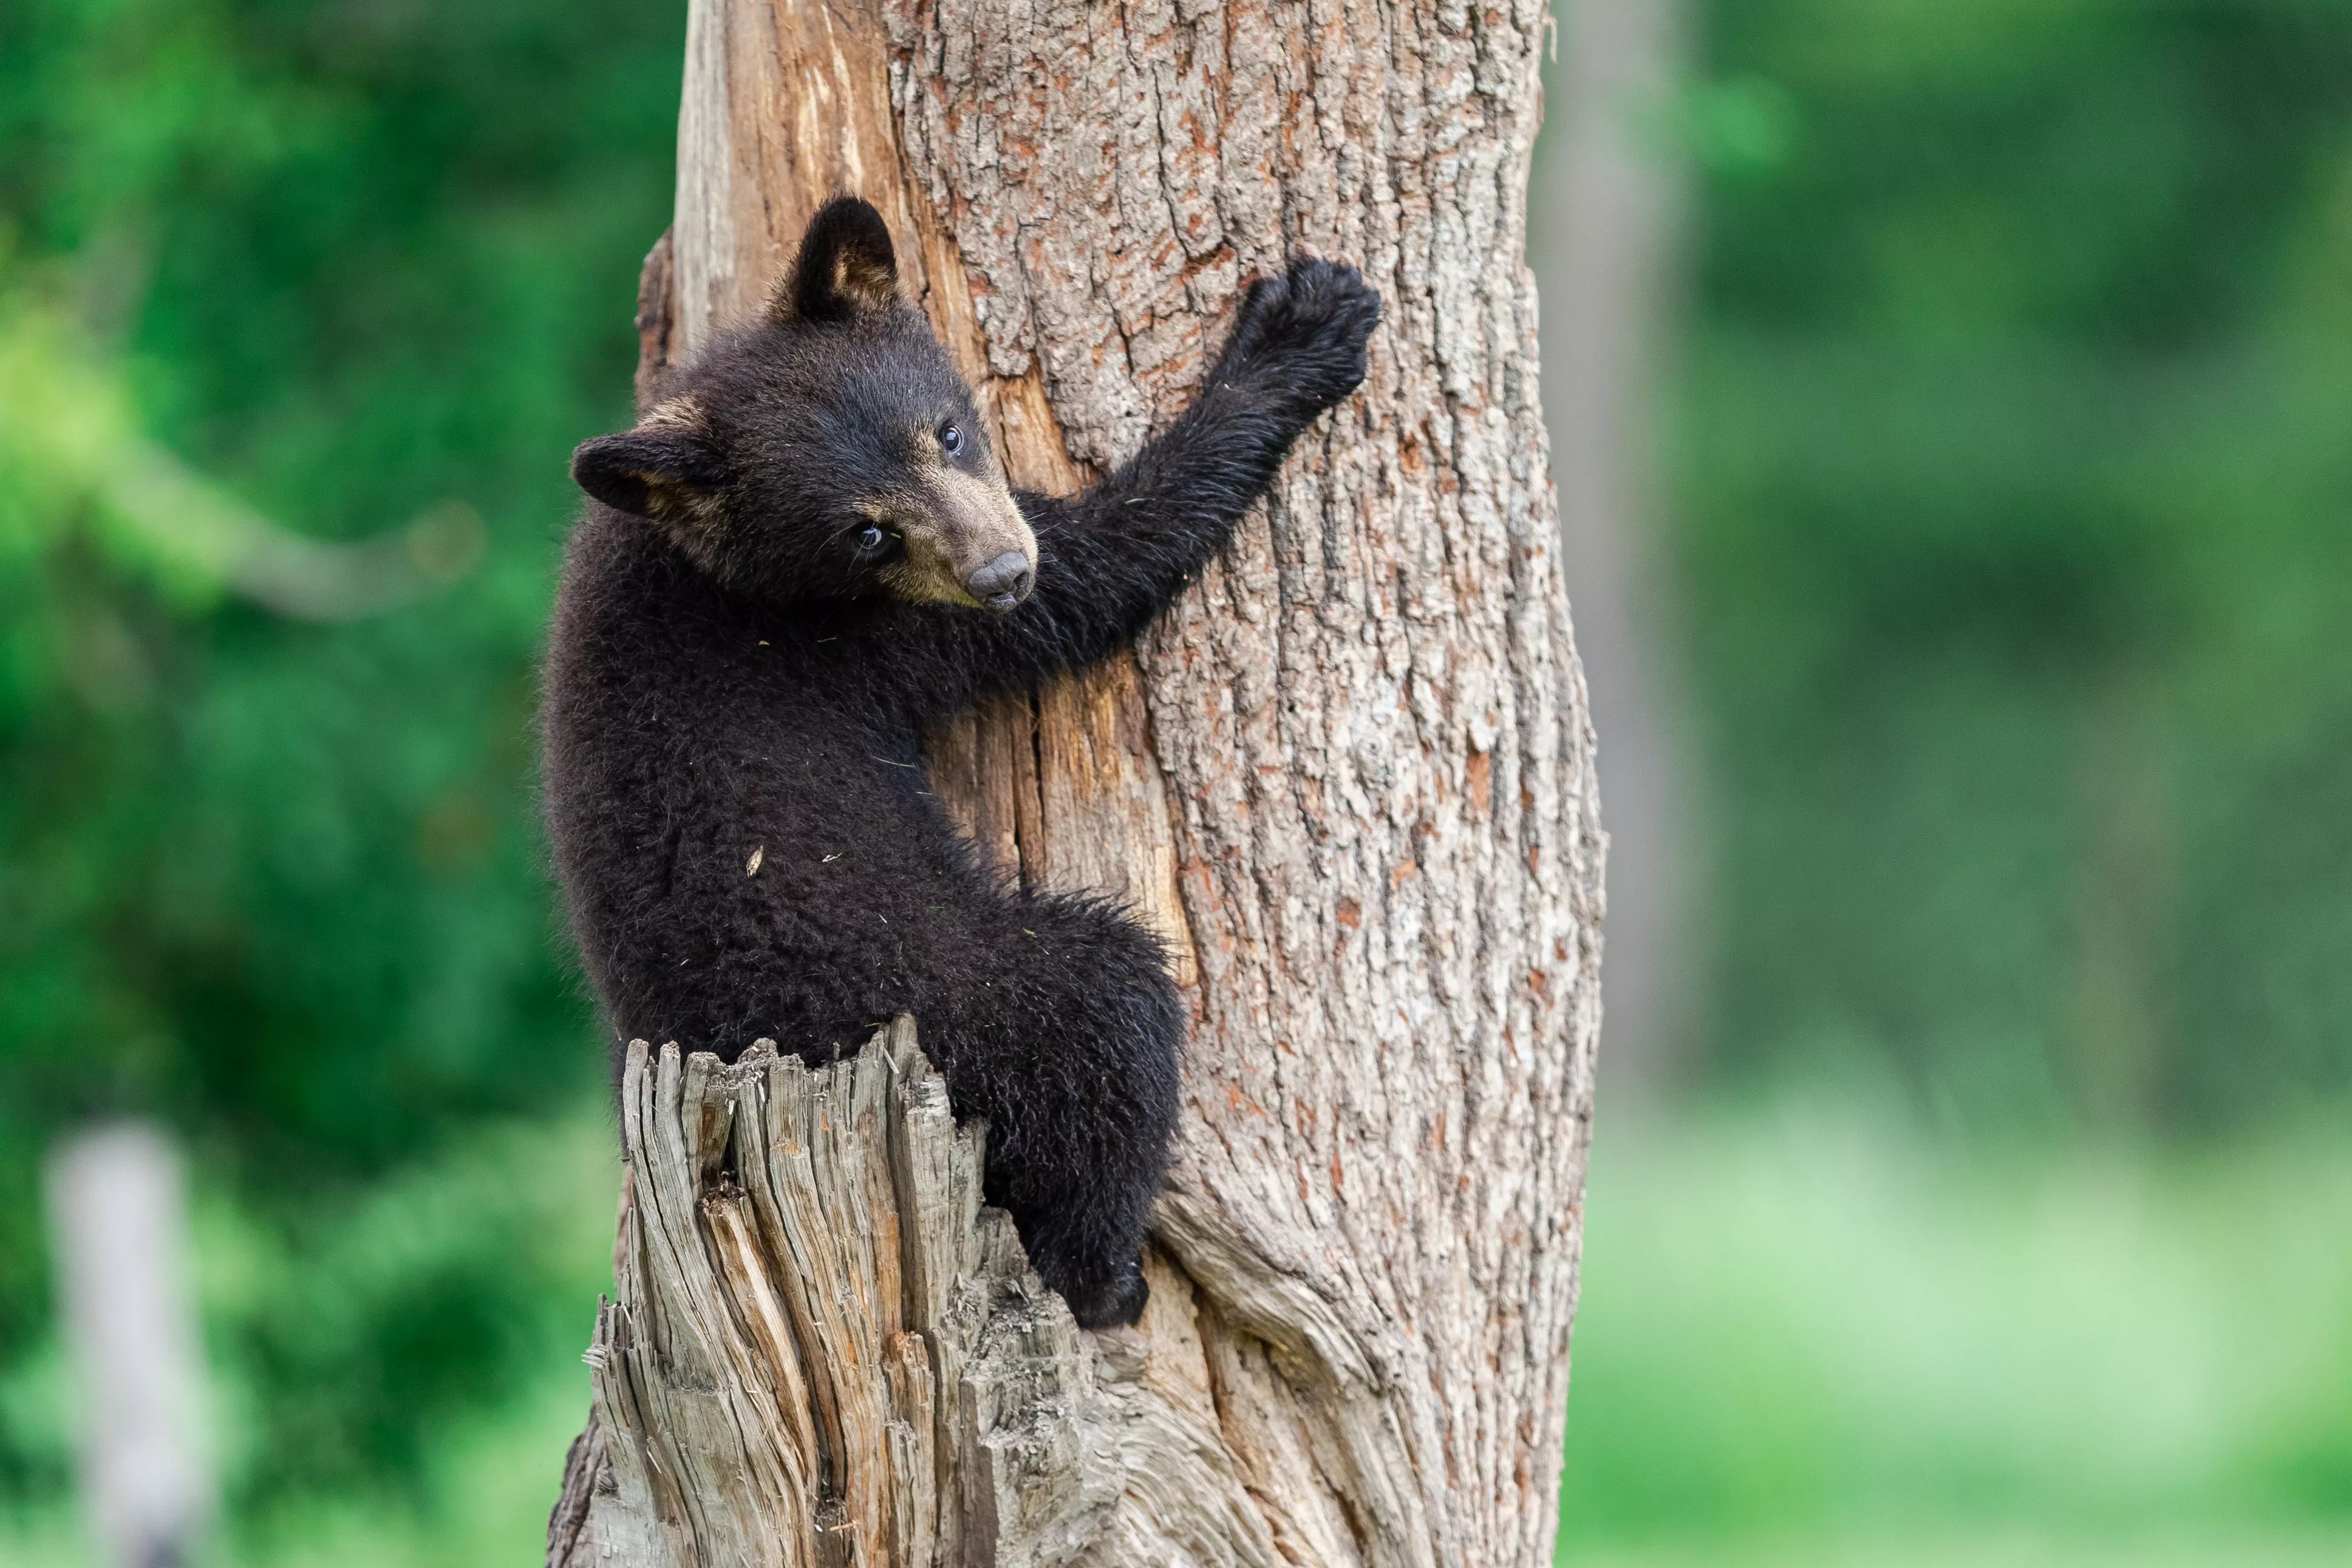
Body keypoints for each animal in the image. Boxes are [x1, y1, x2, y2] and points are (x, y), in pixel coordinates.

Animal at [540, 196, 1379, 1328]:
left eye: (945, 431)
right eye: (865, 532)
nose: (1001, 570)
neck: (702, 562)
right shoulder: (881, 631)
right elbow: (1107, 570)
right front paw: (1298, 334)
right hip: (973, 1000)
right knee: (1110, 1023)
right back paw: (1105, 1272)